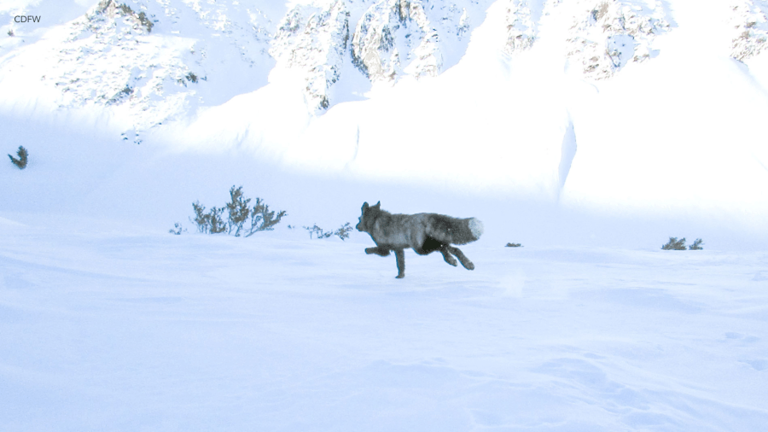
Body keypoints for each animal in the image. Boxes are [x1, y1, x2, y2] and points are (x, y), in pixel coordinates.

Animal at [355, 201, 484, 278]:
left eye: (359, 218)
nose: (356, 227)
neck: (375, 221)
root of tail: (427, 215)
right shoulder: (399, 249)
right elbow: (400, 265)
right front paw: (400, 277)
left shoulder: (385, 249)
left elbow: (370, 250)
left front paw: (366, 251)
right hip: (429, 243)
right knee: (453, 248)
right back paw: (465, 263)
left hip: (420, 249)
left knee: (443, 248)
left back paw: (453, 261)